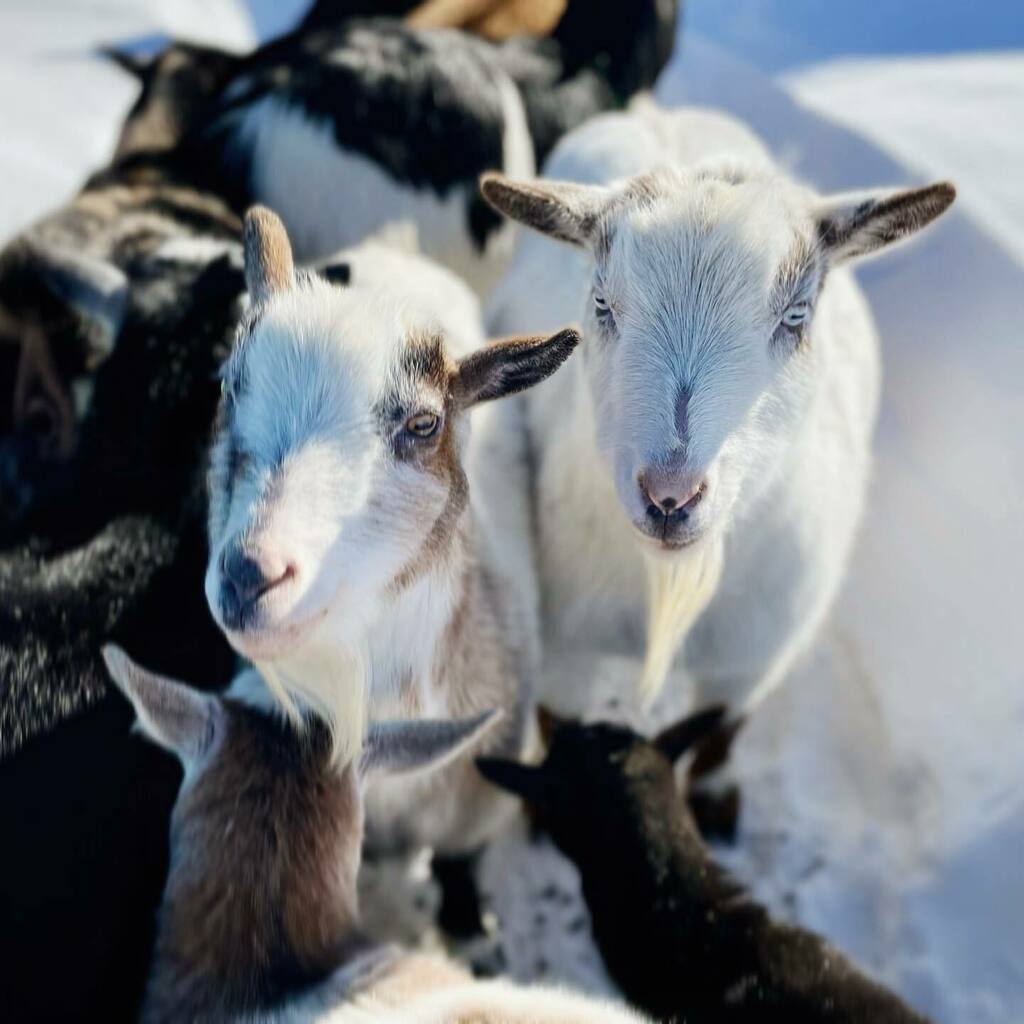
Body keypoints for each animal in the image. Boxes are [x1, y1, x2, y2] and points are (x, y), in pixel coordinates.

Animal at [482, 103, 956, 825]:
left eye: (797, 314)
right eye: (602, 302)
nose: (669, 494)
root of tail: (660, 112)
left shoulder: (753, 660)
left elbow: (716, 745)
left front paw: (715, 808)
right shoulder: (565, 647)